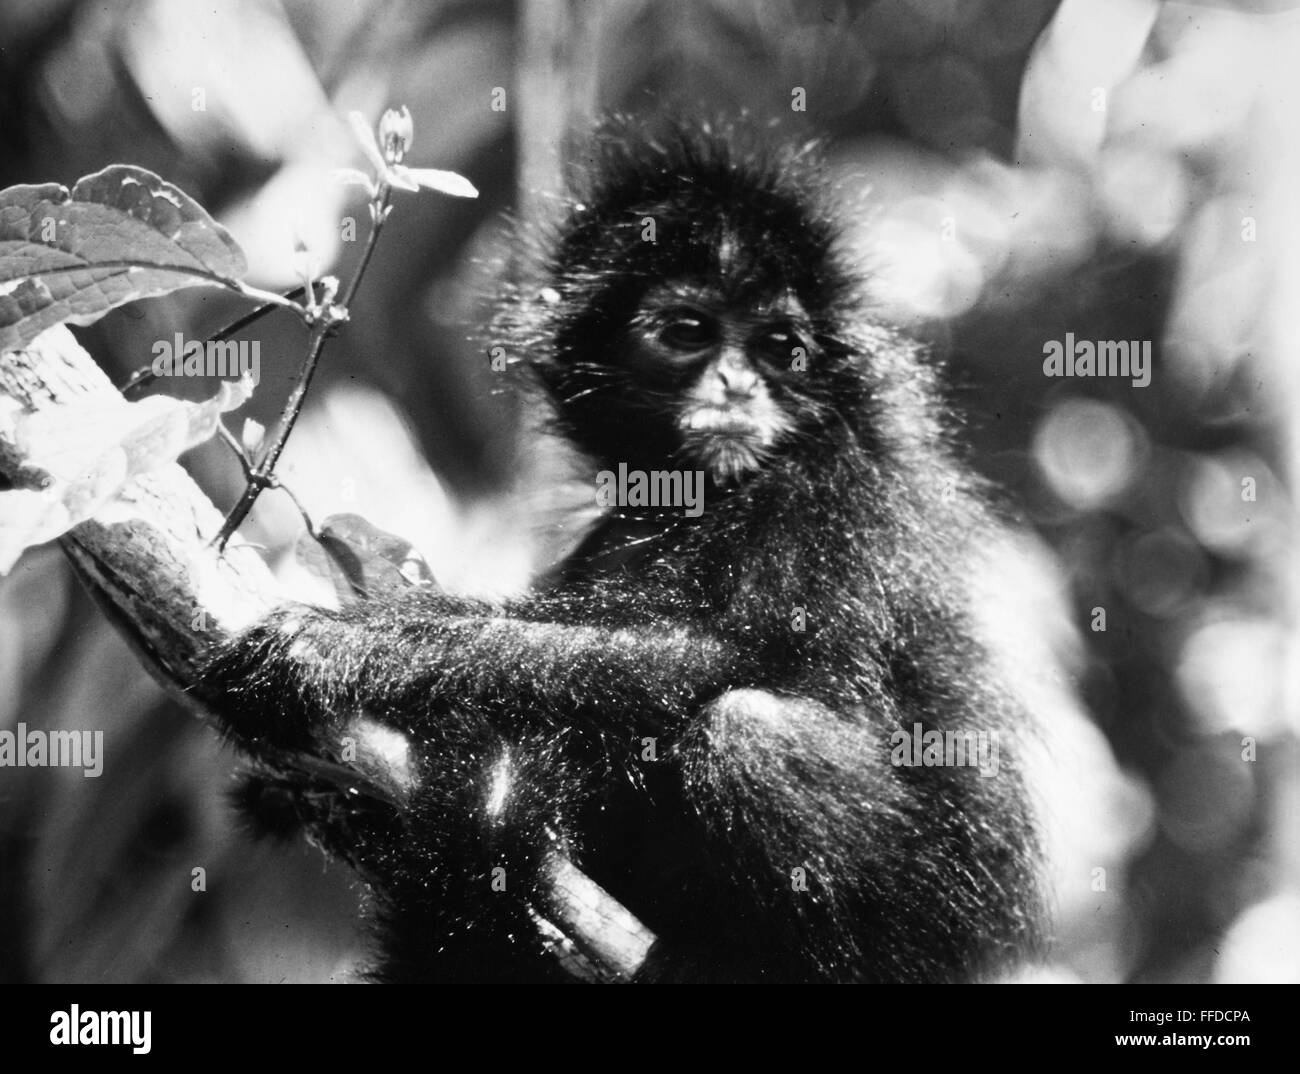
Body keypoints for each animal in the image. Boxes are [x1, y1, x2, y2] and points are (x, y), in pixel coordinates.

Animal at [199, 120, 1045, 983]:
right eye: (689, 333)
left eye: (781, 348)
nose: (741, 385)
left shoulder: (826, 479)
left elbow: (726, 649)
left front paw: (341, 646)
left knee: (751, 735)